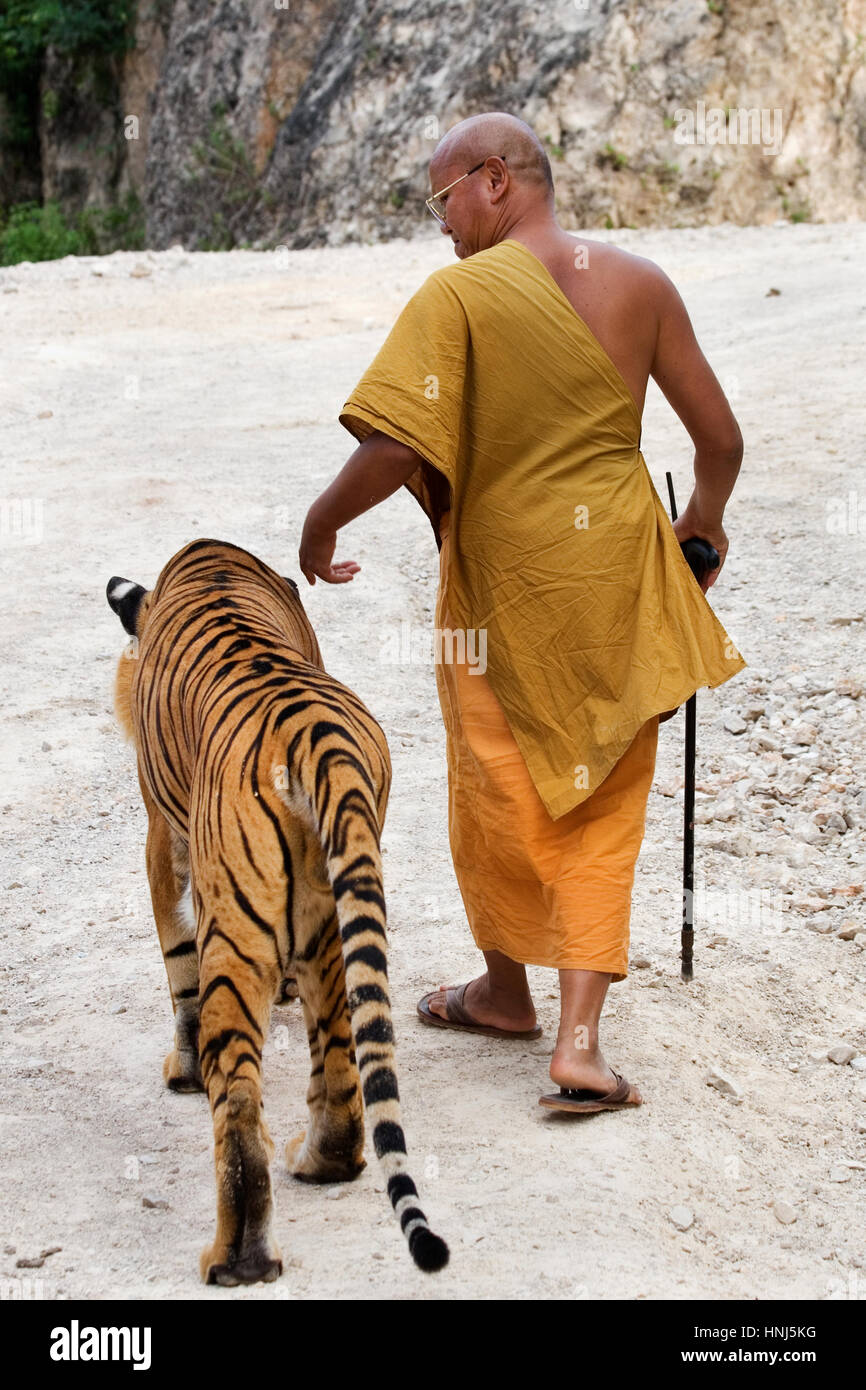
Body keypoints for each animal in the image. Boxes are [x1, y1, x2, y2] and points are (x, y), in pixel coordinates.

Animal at [106, 537, 448, 1285]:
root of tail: (313, 732)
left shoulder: (163, 841)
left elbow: (177, 971)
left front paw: (179, 1072)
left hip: (236, 936)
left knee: (236, 1096)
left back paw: (235, 1260)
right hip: (341, 922)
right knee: (346, 1061)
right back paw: (319, 1163)